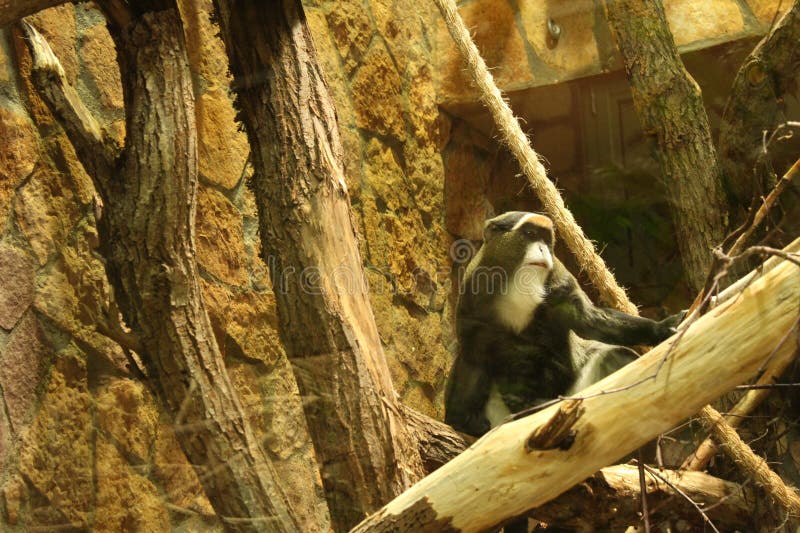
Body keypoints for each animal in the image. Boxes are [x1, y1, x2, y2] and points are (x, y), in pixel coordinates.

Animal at [445, 211, 684, 438]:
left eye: (545, 239)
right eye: (530, 233)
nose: (543, 249)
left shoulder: (561, 283)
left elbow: (591, 320)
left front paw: (661, 328)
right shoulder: (473, 298)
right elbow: (474, 355)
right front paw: (462, 420)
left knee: (616, 355)